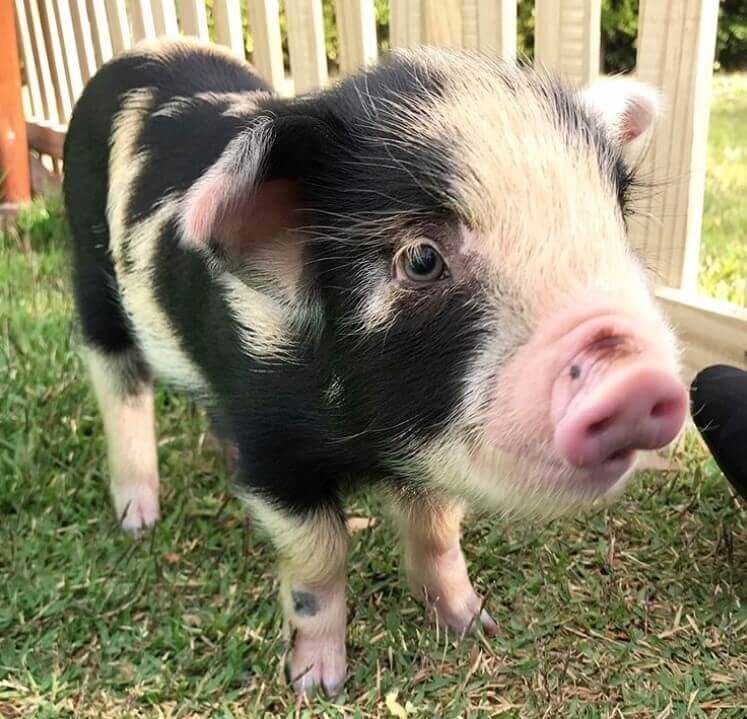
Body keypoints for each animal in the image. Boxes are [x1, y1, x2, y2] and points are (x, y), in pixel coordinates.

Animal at [63, 39, 688, 695]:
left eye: (616, 218)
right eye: (421, 259)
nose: (635, 377)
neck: (368, 442)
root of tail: (139, 53)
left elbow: (438, 533)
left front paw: (474, 625)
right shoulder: (272, 448)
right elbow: (320, 558)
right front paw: (316, 683)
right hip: (91, 272)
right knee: (119, 386)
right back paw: (138, 520)